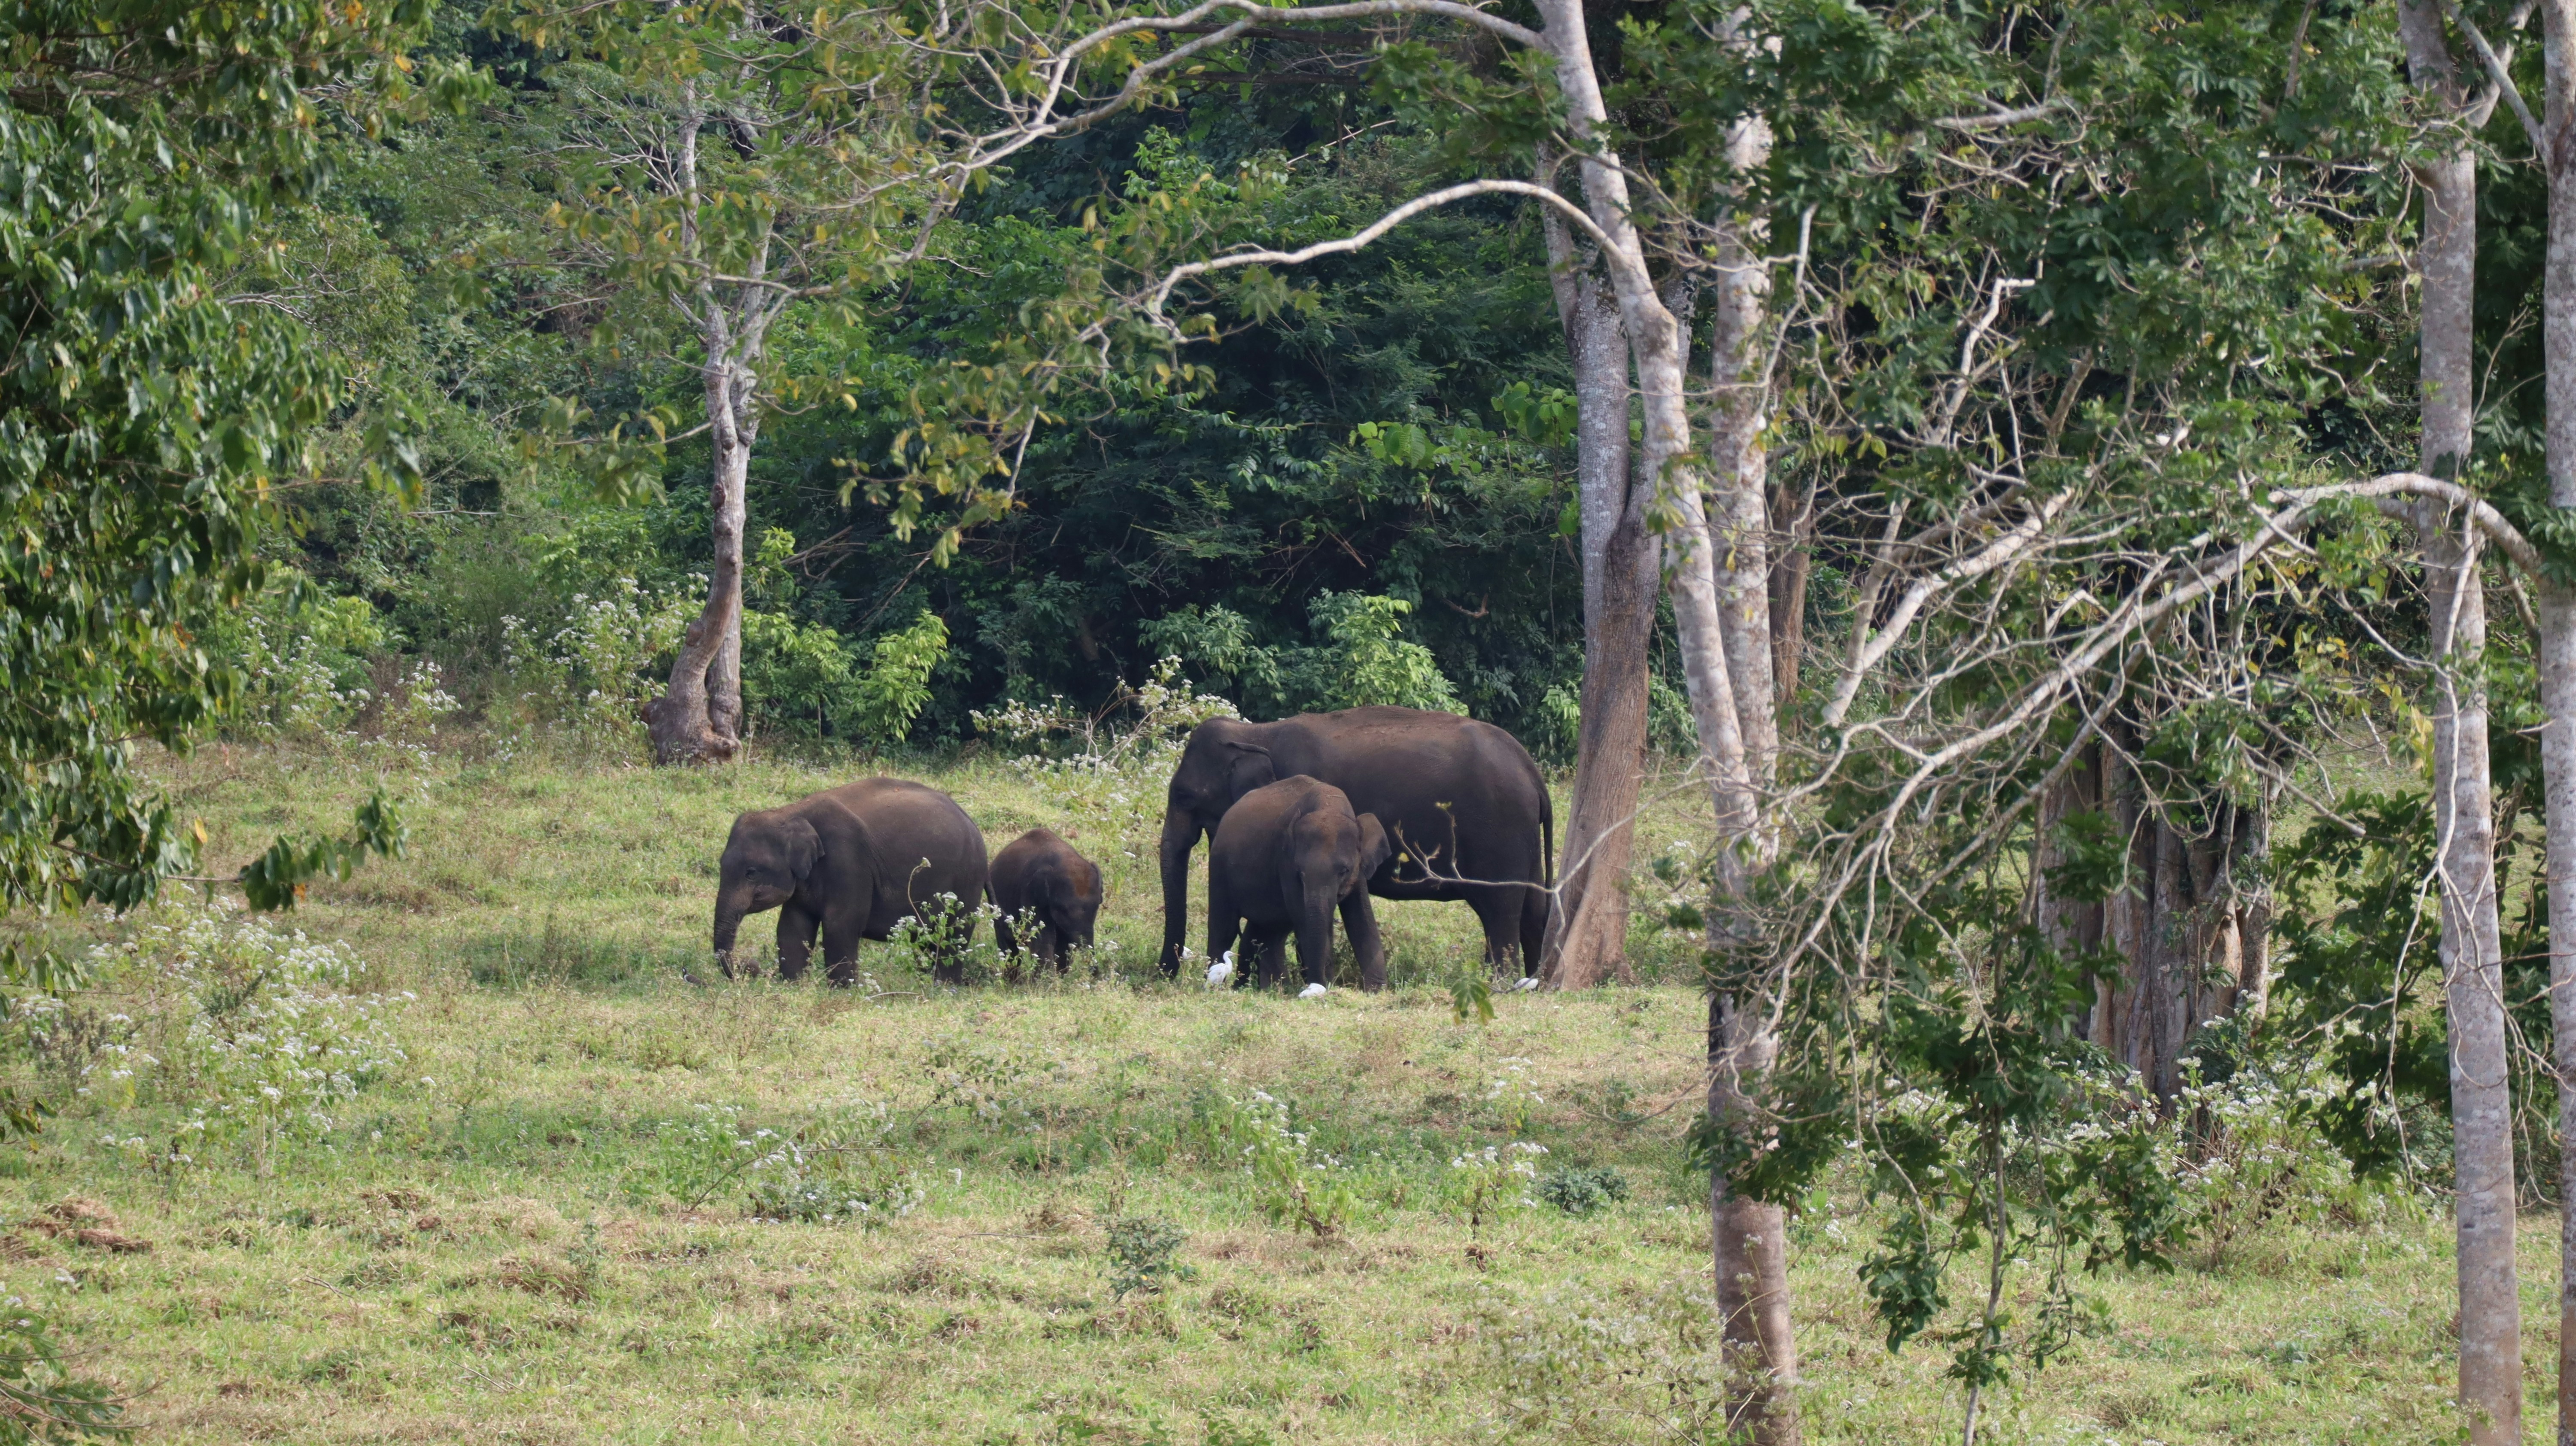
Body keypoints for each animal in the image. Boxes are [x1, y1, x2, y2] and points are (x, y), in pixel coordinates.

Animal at [711, 778, 988, 985]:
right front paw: (793, 985)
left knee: (955, 933)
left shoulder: (848, 860)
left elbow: (840, 923)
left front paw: (842, 989)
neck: (789, 812)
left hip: (968, 878)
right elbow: (792, 927)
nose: (750, 966)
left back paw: (944, 986)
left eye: (751, 873)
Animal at [1206, 777, 1392, 993]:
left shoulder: (1360, 868)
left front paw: (1376, 990)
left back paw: (1274, 987)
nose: (1324, 983)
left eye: (1344, 871)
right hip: (1219, 867)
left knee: (1269, 930)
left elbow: (1361, 918)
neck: (1329, 803)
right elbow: (1304, 918)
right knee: (1224, 928)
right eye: (1300, 874)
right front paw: (1323, 987)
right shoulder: (1285, 863)